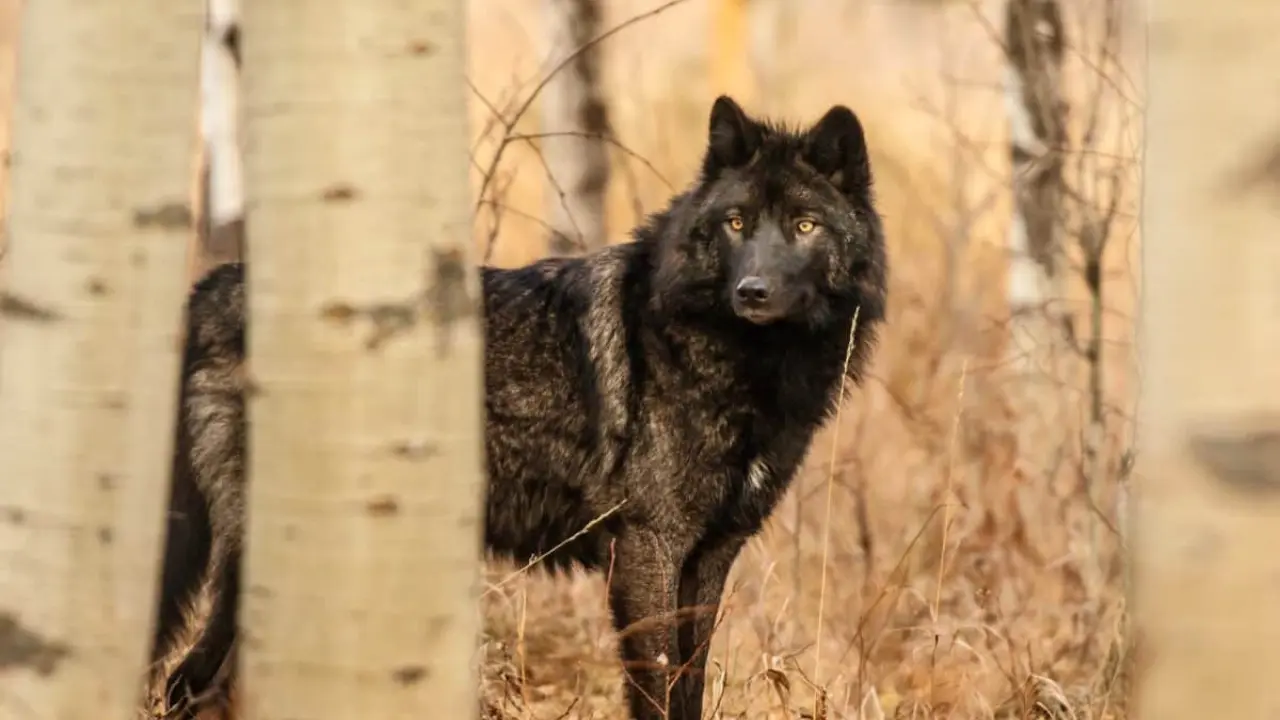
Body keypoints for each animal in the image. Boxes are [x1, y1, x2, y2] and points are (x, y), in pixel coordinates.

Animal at [148, 95, 888, 720]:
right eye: (737, 223)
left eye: (803, 224)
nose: (752, 291)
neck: (745, 365)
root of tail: (210, 286)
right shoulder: (648, 549)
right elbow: (655, 692)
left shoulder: (710, 557)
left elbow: (689, 688)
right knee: (188, 683)